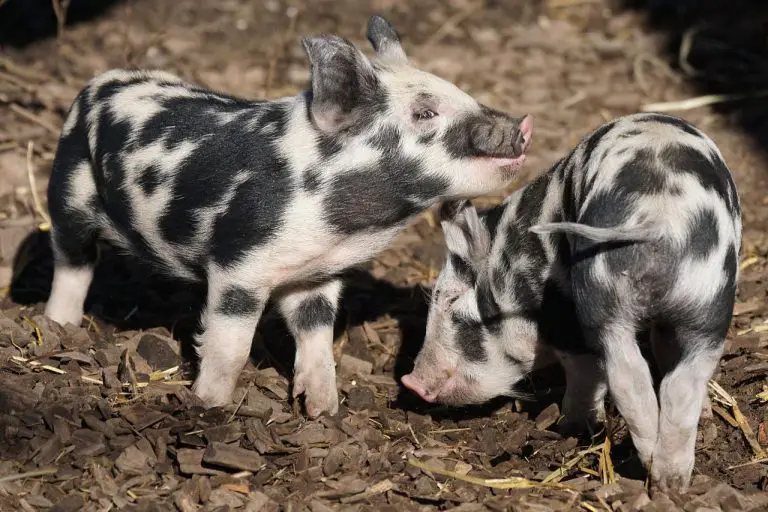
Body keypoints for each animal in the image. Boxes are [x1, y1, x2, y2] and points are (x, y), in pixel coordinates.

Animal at [43, 15, 533, 418]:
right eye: (425, 112)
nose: (522, 125)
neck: (342, 229)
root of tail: (98, 83)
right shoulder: (239, 267)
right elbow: (230, 348)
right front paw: (208, 407)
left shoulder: (317, 276)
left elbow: (317, 339)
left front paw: (324, 411)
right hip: (68, 196)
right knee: (72, 263)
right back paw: (59, 327)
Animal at [402, 112, 741, 492]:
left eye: (451, 298)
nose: (410, 381)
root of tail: (659, 218)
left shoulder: (562, 319)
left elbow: (584, 369)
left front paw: (570, 426)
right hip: (706, 302)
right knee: (675, 383)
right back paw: (669, 481)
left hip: (608, 298)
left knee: (628, 377)